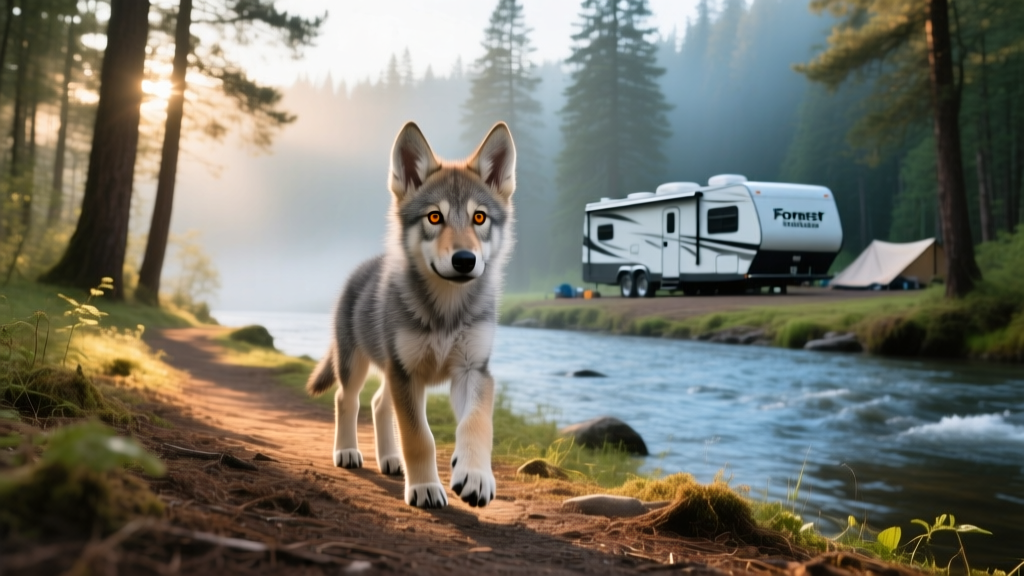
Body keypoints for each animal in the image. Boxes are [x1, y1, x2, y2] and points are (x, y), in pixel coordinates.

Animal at [305, 121, 516, 509]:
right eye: (435, 216)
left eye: (479, 217)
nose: (465, 260)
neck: (447, 310)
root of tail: (364, 266)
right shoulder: (407, 374)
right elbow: (419, 437)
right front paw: (424, 488)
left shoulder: (473, 371)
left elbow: (476, 423)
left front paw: (474, 475)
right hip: (359, 365)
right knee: (347, 399)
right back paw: (347, 452)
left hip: (393, 374)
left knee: (378, 404)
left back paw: (390, 460)